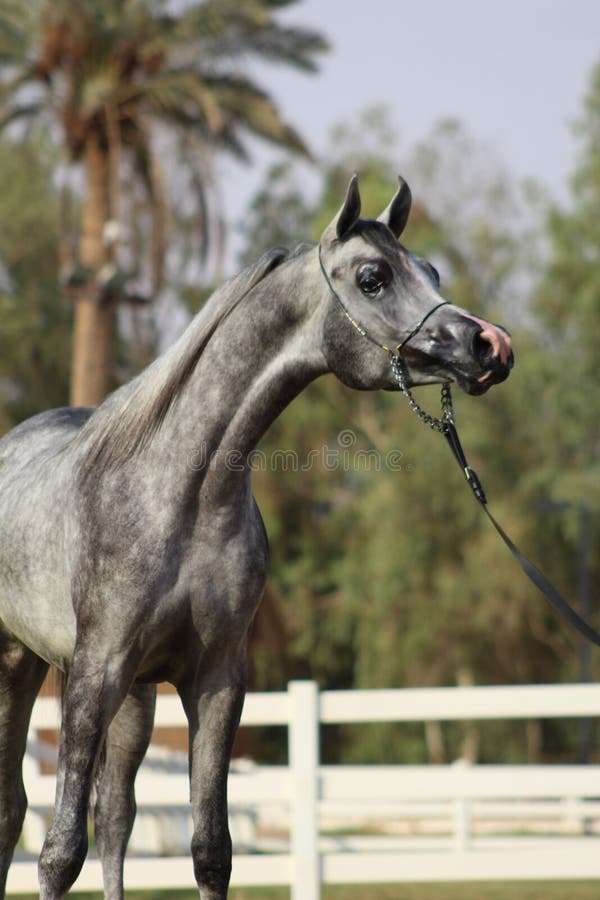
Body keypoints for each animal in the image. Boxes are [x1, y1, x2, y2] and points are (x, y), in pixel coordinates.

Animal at [0, 174, 513, 899]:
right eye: (374, 277)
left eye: (433, 271)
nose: (491, 345)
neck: (180, 493)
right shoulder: (94, 675)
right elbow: (60, 849)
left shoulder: (217, 680)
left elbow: (210, 848)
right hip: (23, 665)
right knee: (16, 810)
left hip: (133, 696)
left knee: (116, 813)